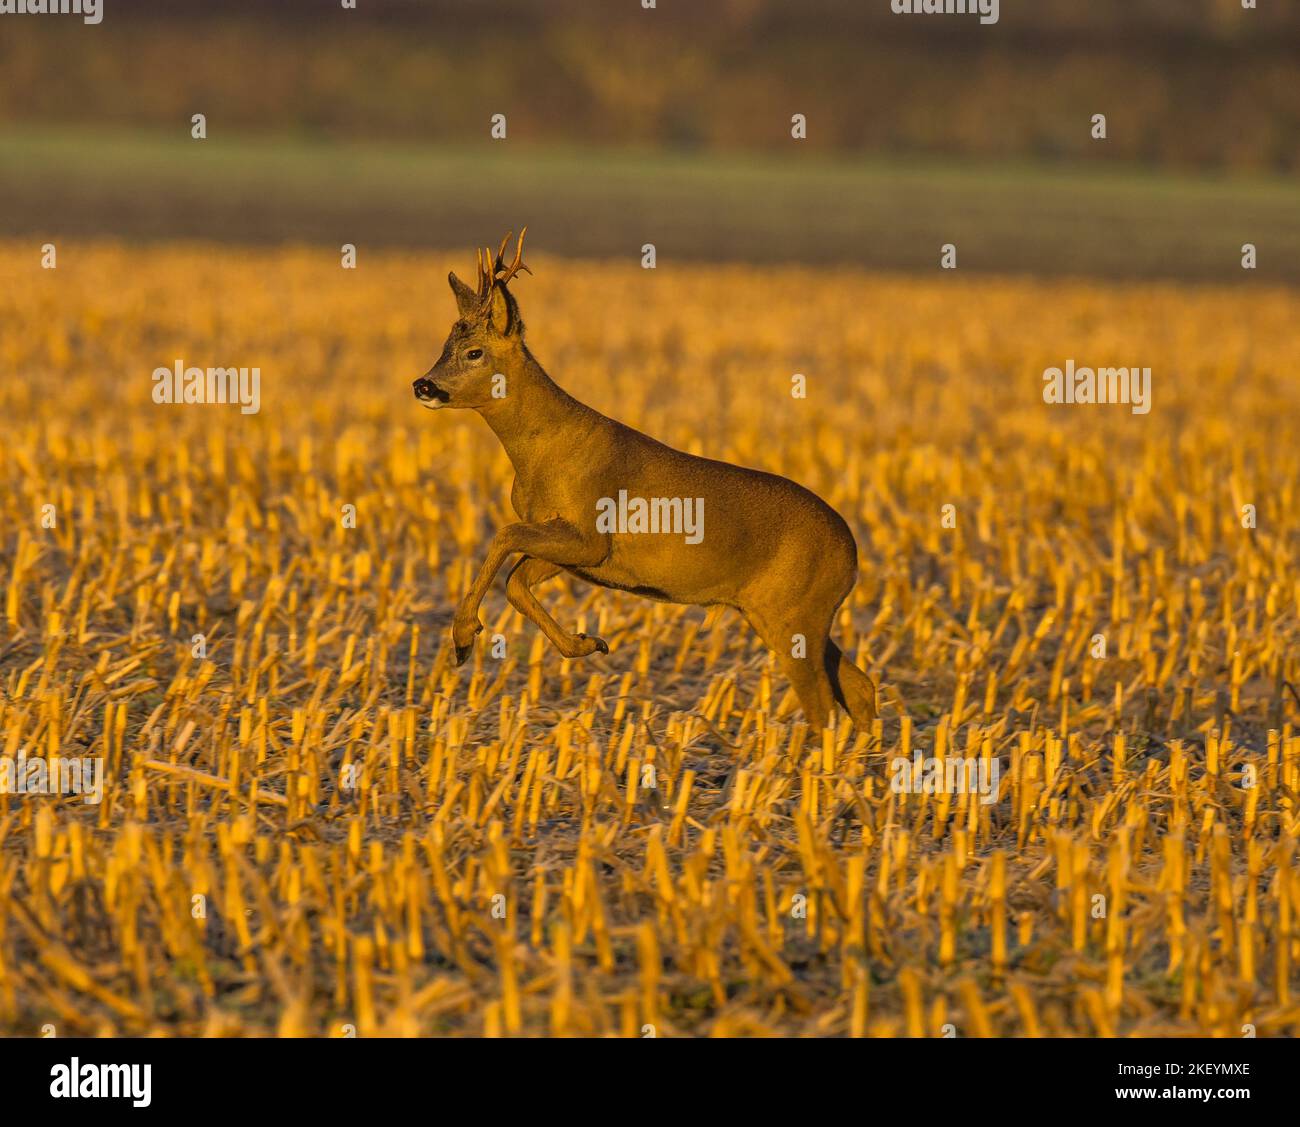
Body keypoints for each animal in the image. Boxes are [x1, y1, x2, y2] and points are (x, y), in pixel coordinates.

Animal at [412, 230, 878, 732]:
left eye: (474, 351)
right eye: (444, 344)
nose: (423, 385)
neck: (544, 450)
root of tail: (851, 553)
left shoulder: (591, 533)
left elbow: (505, 534)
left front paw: (463, 638)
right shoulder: (581, 552)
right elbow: (517, 579)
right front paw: (587, 643)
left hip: (792, 612)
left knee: (822, 702)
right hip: (794, 613)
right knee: (858, 685)